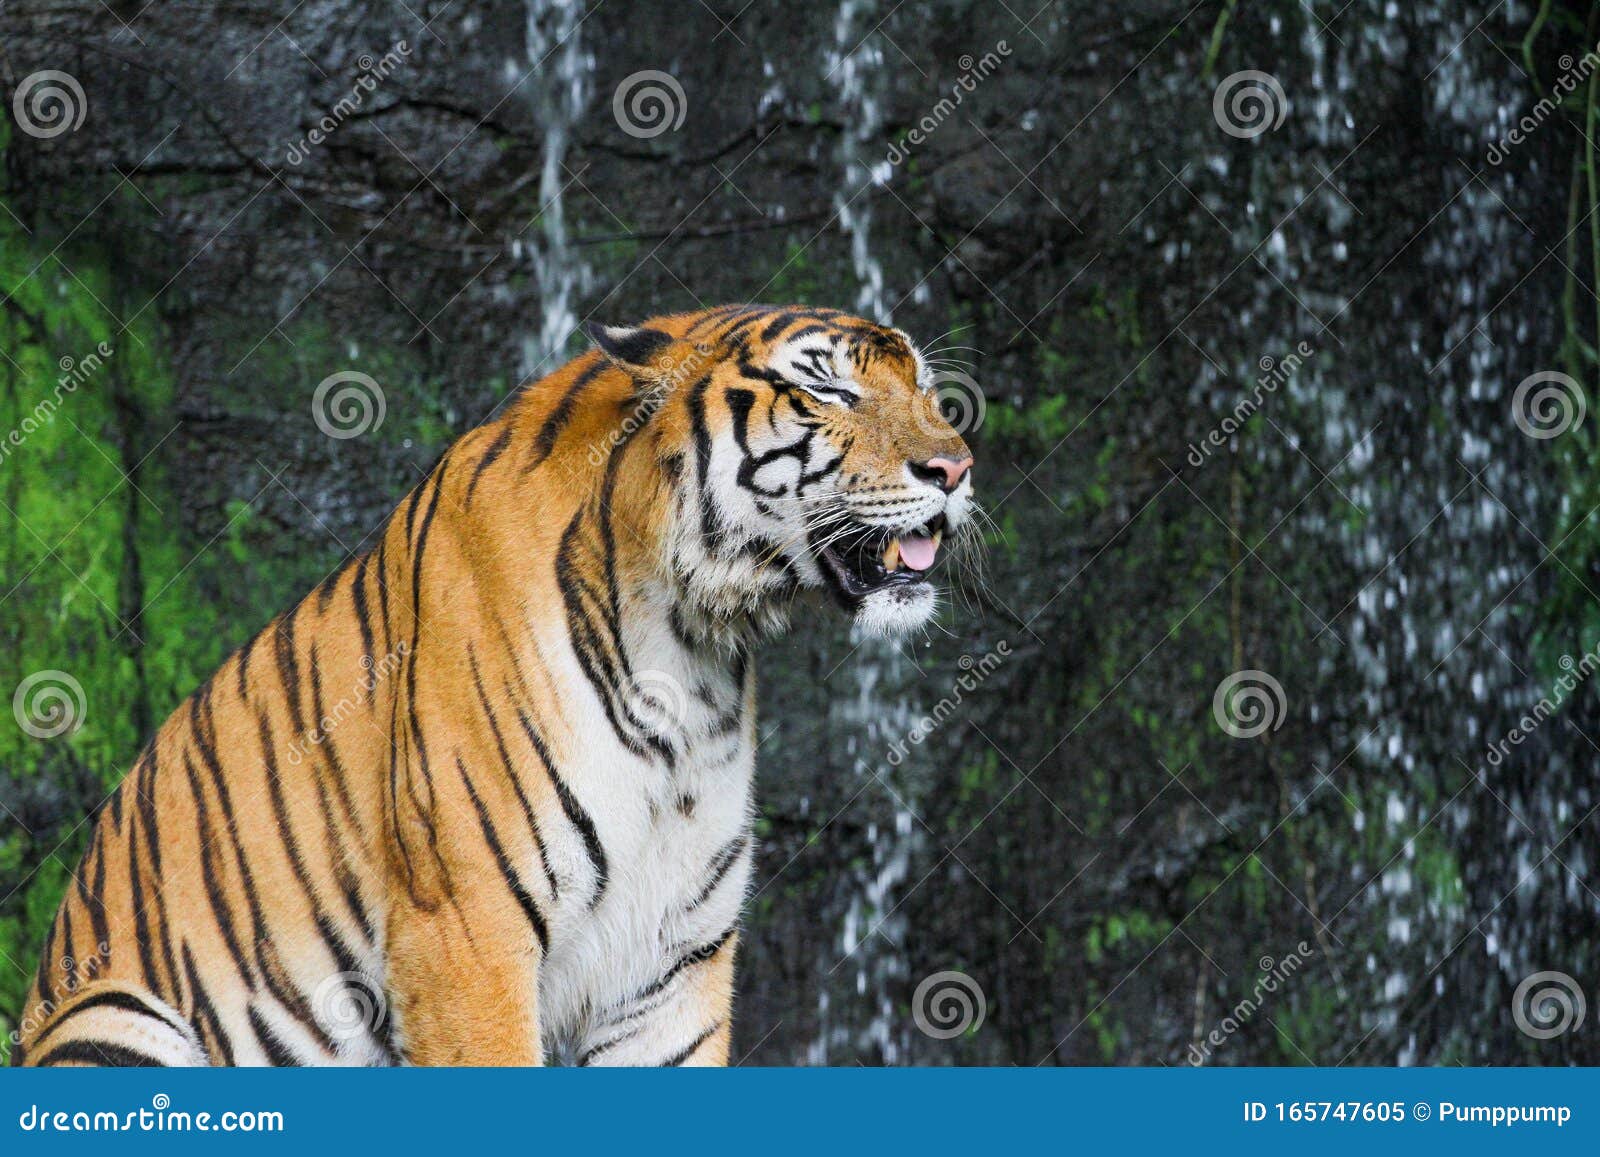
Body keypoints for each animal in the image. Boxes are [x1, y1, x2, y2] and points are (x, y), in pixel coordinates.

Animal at [12, 304, 976, 1067]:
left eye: (927, 389)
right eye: (830, 391)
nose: (956, 468)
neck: (691, 649)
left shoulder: (672, 961)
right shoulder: (465, 929)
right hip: (115, 1011)